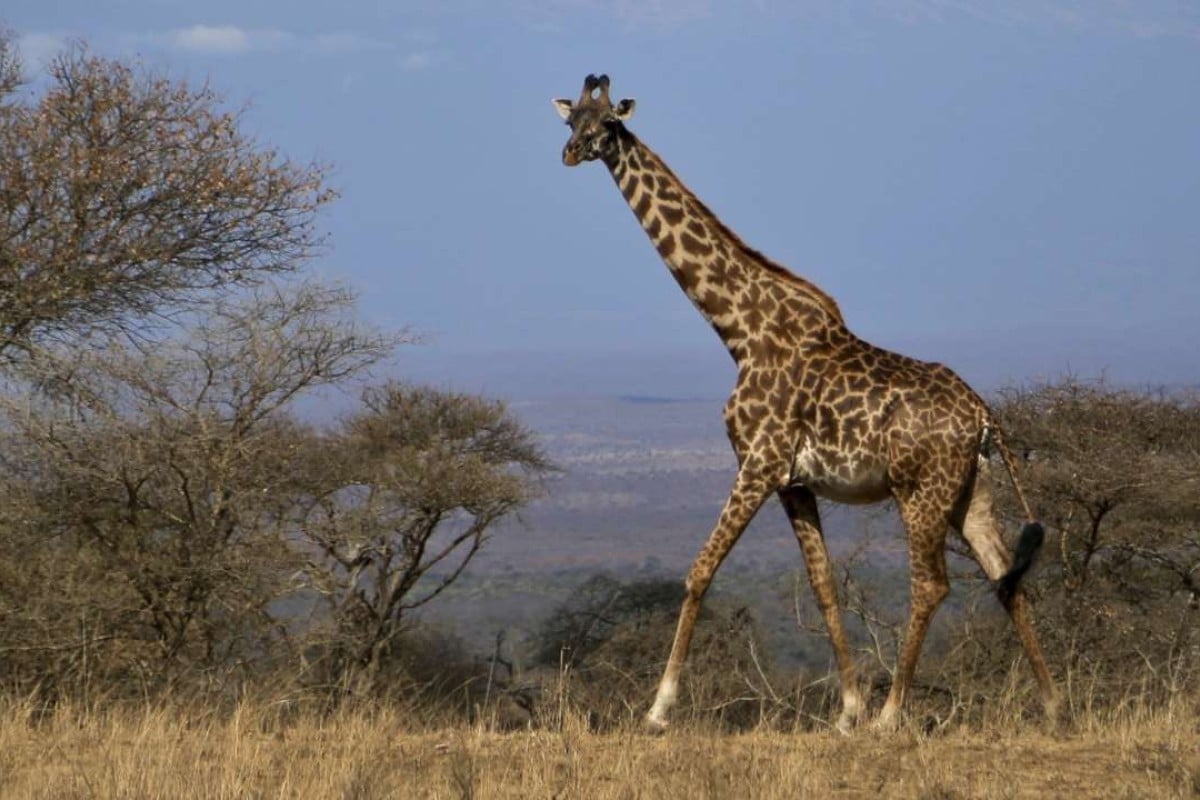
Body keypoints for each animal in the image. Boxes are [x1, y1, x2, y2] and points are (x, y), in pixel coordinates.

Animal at [554, 74, 1058, 733]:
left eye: (608, 123)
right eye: (571, 121)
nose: (571, 153)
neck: (739, 329)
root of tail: (983, 417)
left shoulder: (758, 463)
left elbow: (699, 572)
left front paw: (659, 710)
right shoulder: (794, 481)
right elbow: (823, 586)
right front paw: (846, 710)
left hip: (919, 492)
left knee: (931, 585)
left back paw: (892, 715)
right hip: (970, 492)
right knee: (1005, 576)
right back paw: (1052, 705)